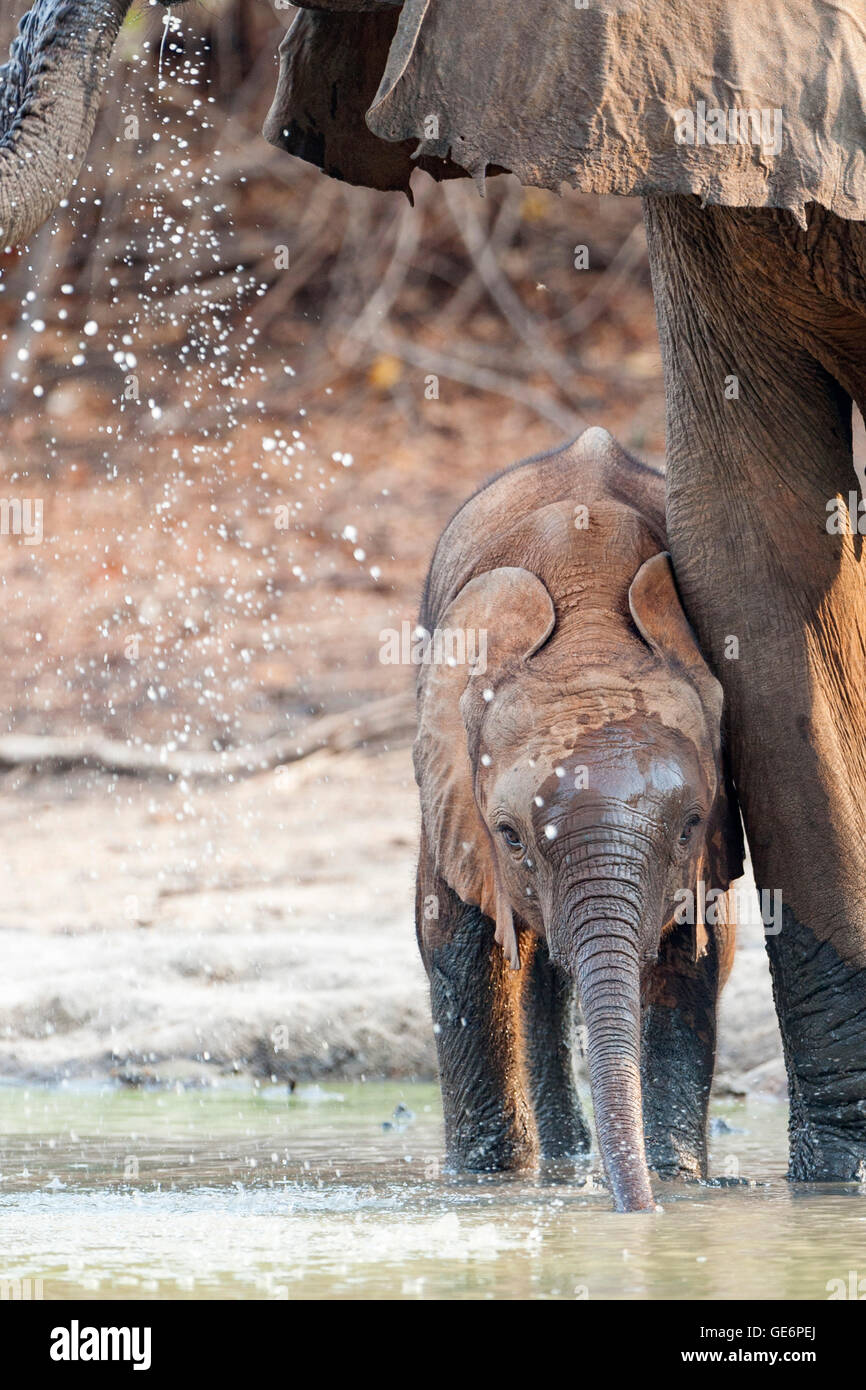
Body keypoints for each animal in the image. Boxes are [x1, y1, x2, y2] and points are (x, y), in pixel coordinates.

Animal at [413, 426, 742, 1211]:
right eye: (509, 836)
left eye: (689, 825)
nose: (639, 1215)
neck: (591, 633)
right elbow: (459, 948)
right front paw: (492, 1183)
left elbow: (691, 957)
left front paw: (678, 1180)